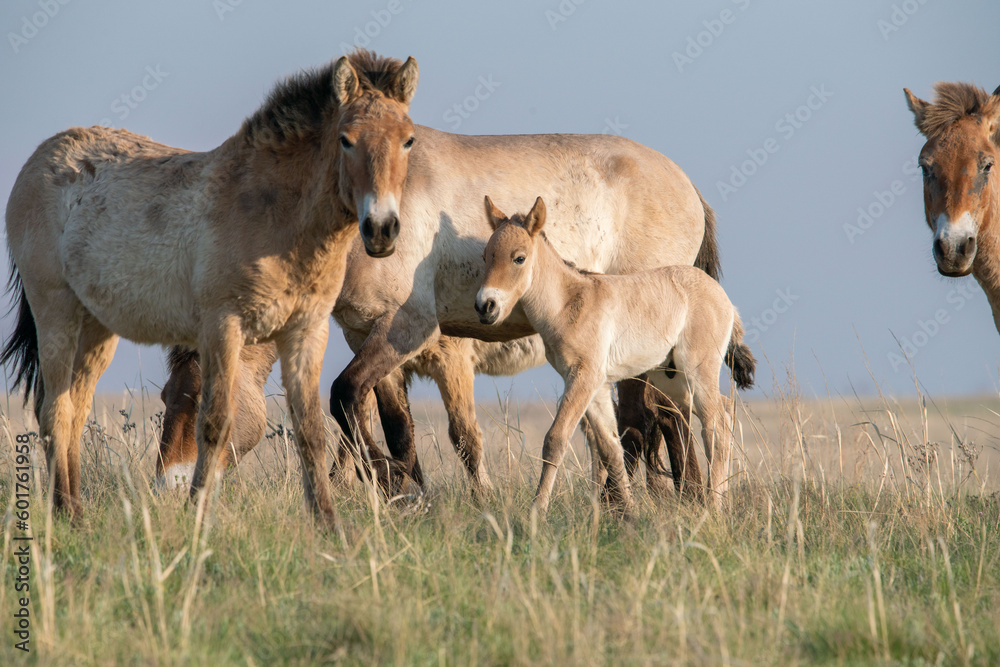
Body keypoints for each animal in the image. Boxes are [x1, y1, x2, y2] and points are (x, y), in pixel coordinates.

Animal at [0, 50, 420, 528]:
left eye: (408, 141)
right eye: (346, 140)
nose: (381, 229)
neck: (276, 214)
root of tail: (40, 158)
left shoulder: (305, 332)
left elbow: (311, 431)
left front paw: (329, 528)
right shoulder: (223, 327)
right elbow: (217, 424)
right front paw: (198, 518)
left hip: (96, 330)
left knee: (75, 407)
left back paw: (75, 512)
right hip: (56, 314)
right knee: (55, 410)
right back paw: (67, 516)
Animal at [476, 196, 754, 511]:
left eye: (519, 258)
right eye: (485, 256)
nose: (485, 306)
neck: (569, 302)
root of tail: (724, 299)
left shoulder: (582, 377)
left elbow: (556, 440)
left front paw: (537, 511)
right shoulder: (595, 385)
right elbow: (611, 446)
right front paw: (629, 512)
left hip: (698, 371)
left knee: (715, 424)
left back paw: (714, 507)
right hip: (673, 380)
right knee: (726, 411)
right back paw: (723, 499)